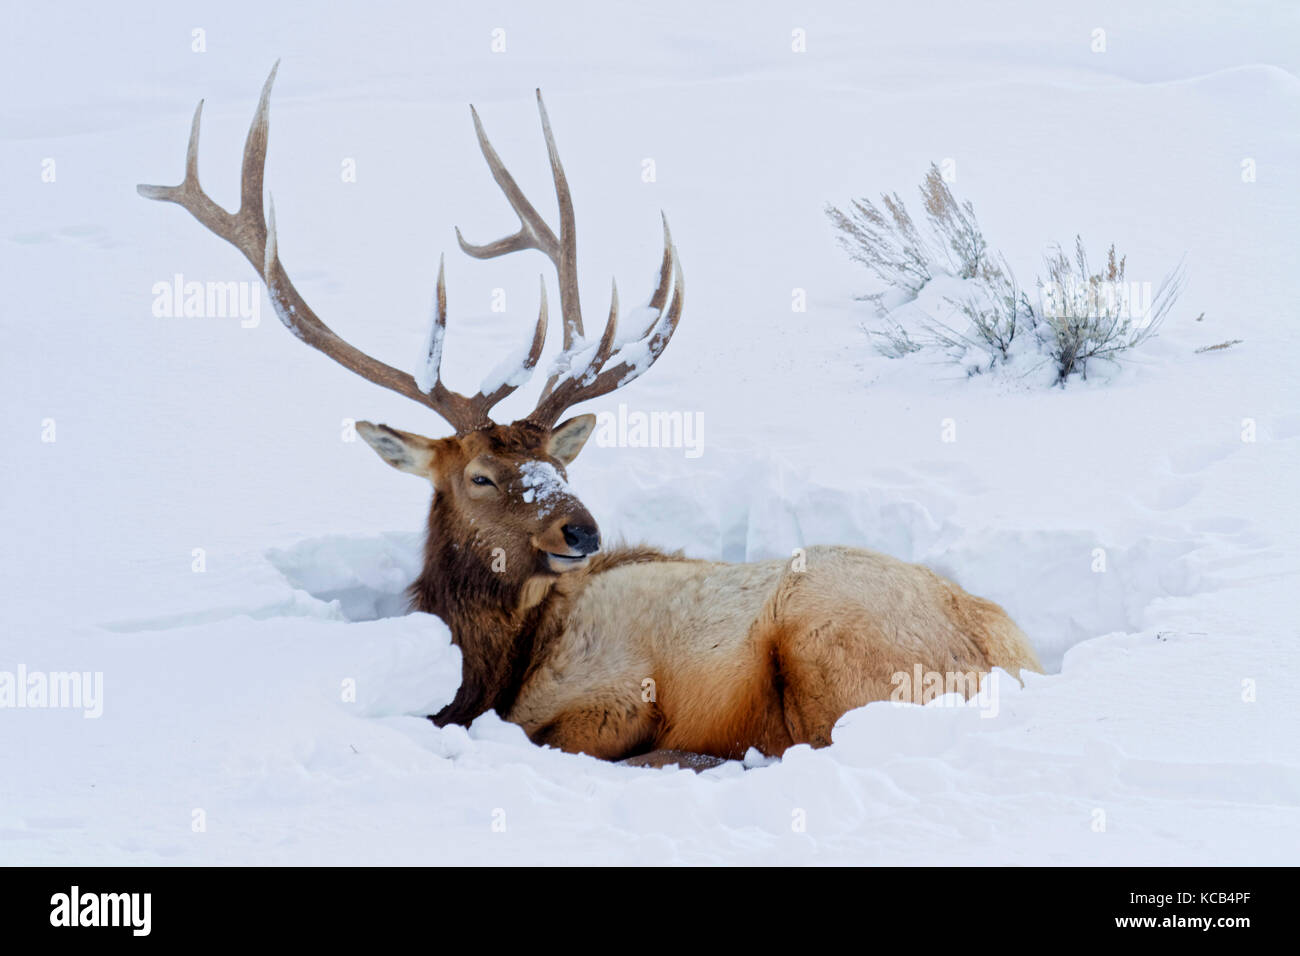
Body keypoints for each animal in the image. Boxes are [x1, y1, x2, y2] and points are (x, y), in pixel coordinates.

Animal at [139, 65, 1042, 770]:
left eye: (562, 463)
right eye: (481, 474)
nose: (582, 529)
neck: (492, 664)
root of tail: (1005, 654)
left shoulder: (611, 693)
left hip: (830, 639)